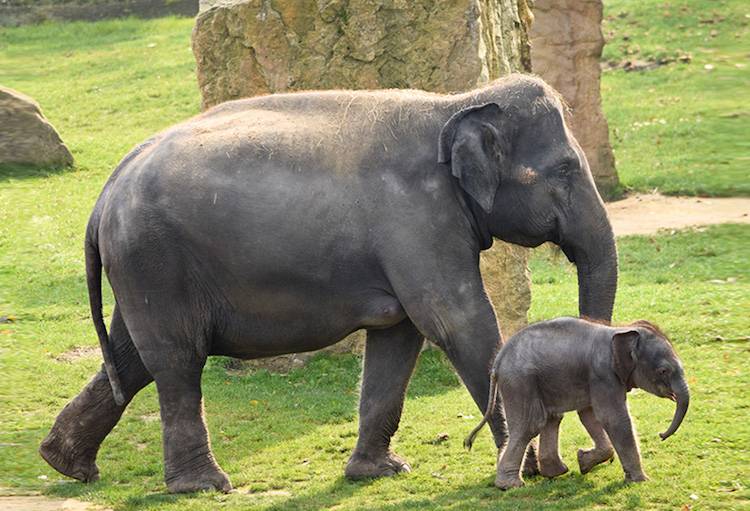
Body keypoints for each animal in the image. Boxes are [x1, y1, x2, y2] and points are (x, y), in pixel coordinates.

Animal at [39, 74, 618, 493]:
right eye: (564, 170)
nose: (587, 461)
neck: (456, 103)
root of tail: (105, 193)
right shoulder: (418, 218)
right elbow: (458, 322)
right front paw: (527, 474)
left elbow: (400, 336)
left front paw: (379, 472)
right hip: (154, 261)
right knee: (177, 360)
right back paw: (203, 486)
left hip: (143, 267)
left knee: (133, 357)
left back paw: (67, 464)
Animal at [464, 317, 690, 490]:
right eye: (663, 371)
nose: (661, 435)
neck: (621, 329)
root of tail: (497, 361)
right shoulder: (603, 375)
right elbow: (613, 419)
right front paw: (640, 481)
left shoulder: (596, 379)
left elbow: (589, 415)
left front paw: (583, 462)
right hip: (520, 383)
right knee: (531, 425)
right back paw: (511, 485)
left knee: (551, 419)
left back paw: (554, 472)